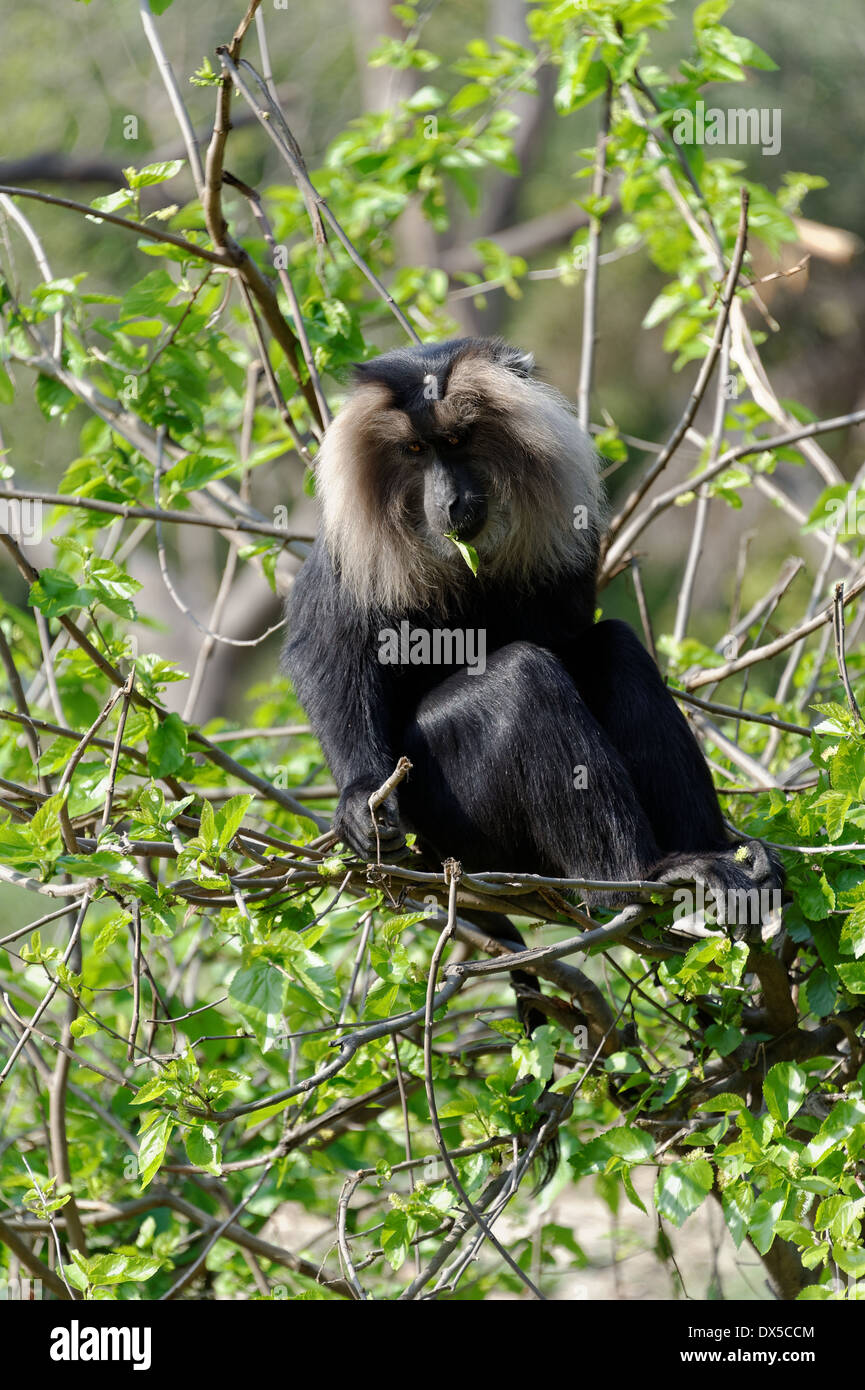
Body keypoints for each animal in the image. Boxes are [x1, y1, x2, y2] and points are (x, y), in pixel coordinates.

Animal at [282, 336, 783, 1035]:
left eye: (458, 441)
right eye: (415, 452)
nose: (451, 501)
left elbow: (575, 634)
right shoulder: (348, 554)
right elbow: (323, 654)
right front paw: (360, 798)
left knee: (612, 648)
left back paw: (719, 859)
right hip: (456, 826)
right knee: (522, 678)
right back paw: (640, 877)